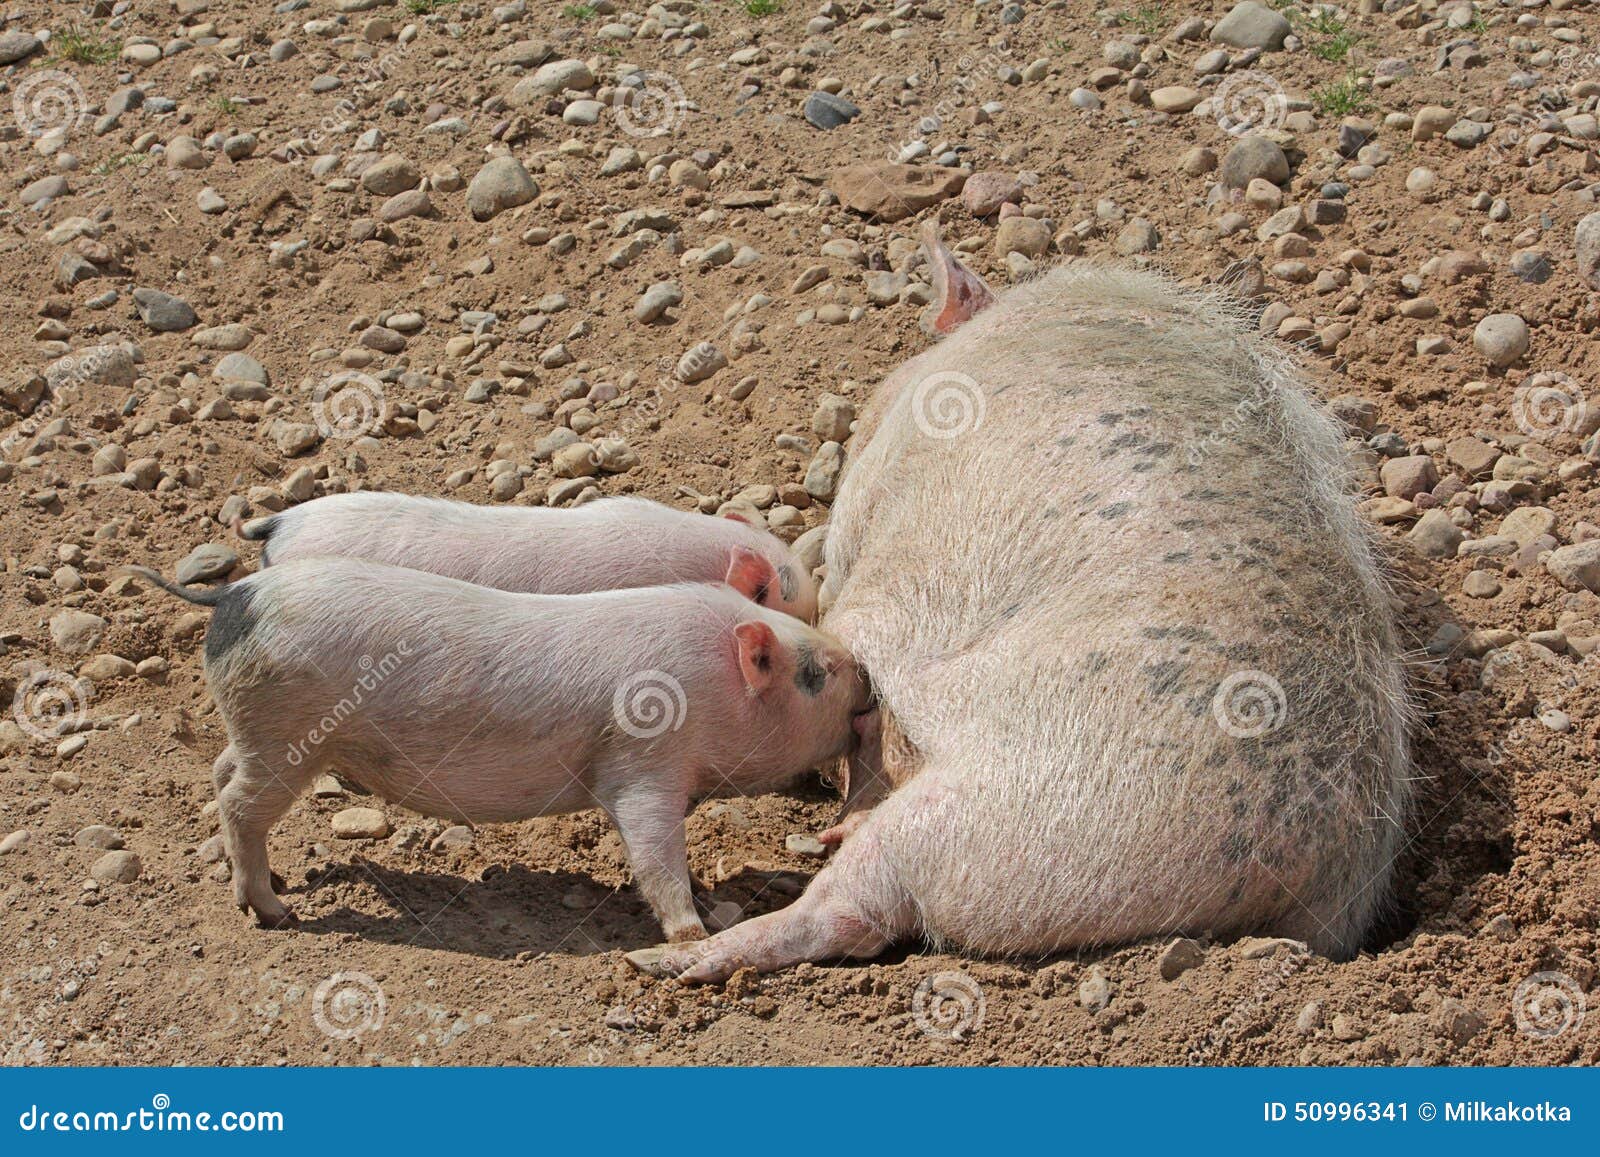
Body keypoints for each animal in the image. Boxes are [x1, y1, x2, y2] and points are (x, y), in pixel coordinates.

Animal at [128, 556, 866, 942]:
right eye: (813, 674)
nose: (864, 673)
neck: (710, 685)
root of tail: (234, 593)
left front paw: (714, 914)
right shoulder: (642, 762)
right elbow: (655, 854)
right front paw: (696, 934)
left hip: (258, 729)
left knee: (222, 770)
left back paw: (274, 885)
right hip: (288, 734)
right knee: (238, 801)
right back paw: (276, 910)